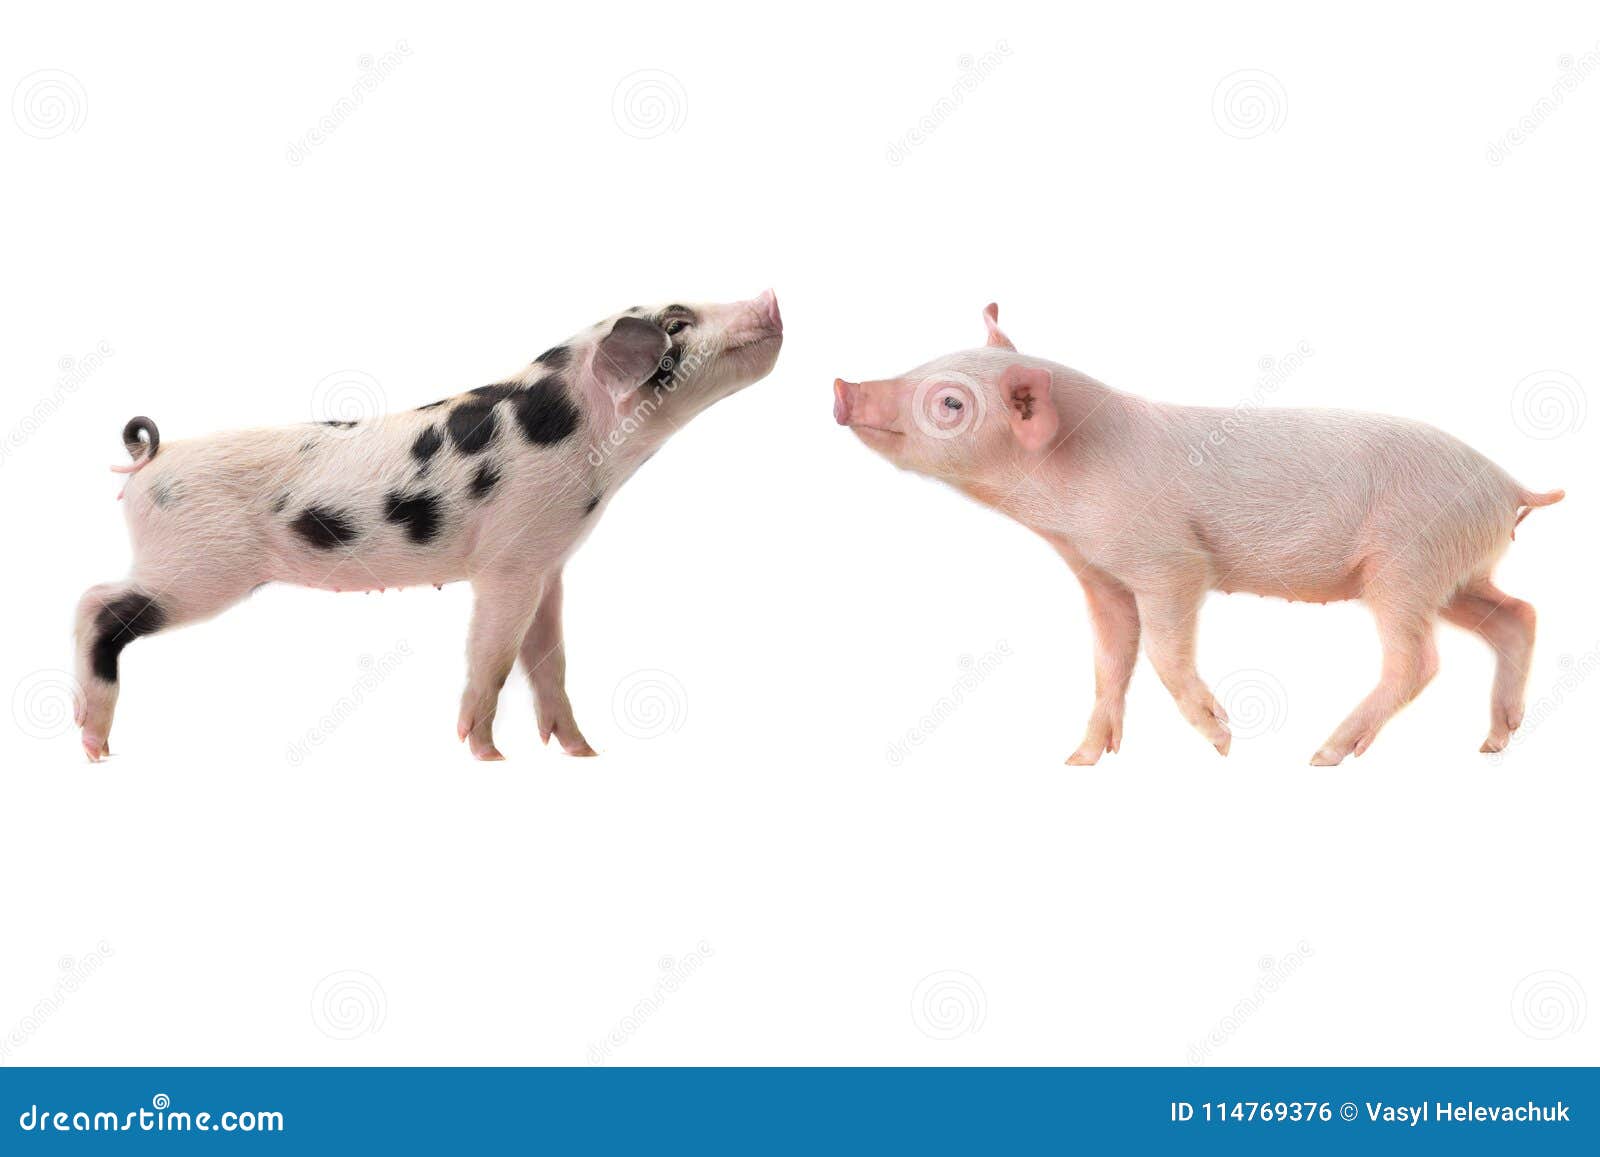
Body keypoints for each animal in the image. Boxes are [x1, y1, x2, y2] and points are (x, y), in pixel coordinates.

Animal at [74, 291, 783, 761]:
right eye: (677, 324)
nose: (772, 297)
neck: (595, 451)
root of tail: (151, 460)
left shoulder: (547, 562)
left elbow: (549, 661)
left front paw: (583, 754)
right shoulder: (508, 561)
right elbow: (493, 655)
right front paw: (488, 756)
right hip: (199, 567)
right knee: (96, 603)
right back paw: (96, 746)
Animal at [834, 304, 1564, 765]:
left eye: (950, 403)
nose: (843, 386)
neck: (1059, 499)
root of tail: (1509, 485)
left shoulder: (1169, 560)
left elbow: (1161, 649)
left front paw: (1223, 741)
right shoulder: (1101, 574)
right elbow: (1110, 659)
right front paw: (1080, 759)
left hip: (1408, 562)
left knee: (1420, 661)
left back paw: (1324, 755)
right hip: (1456, 571)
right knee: (1518, 614)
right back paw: (1494, 742)